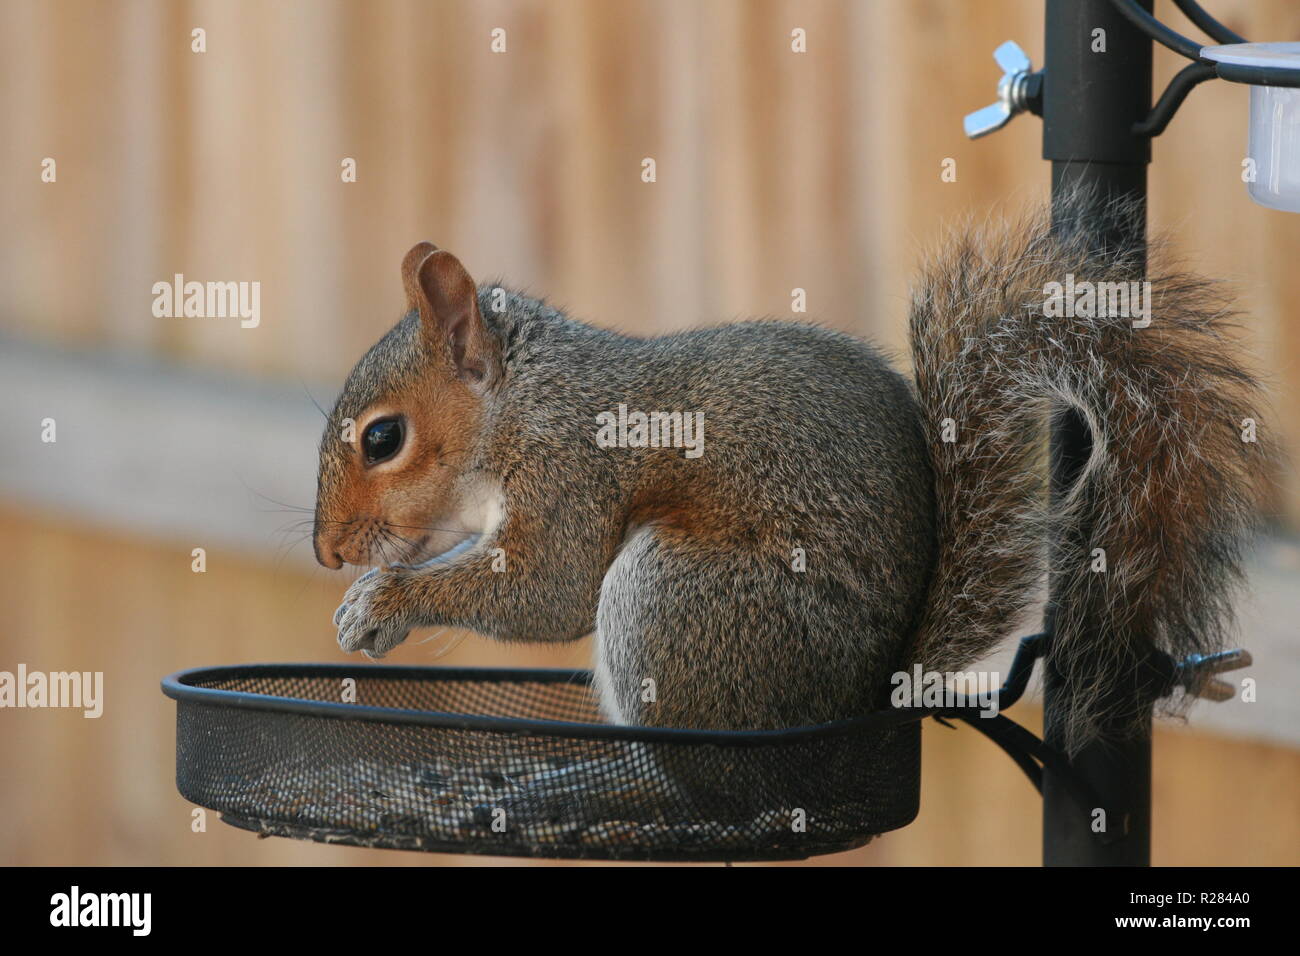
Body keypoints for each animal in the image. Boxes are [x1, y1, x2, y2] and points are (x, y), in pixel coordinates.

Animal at [314, 195, 1269, 755]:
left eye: (384, 438)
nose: (326, 552)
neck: (523, 402)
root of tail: (867, 685)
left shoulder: (569, 472)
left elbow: (548, 588)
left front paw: (384, 602)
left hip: (680, 597)